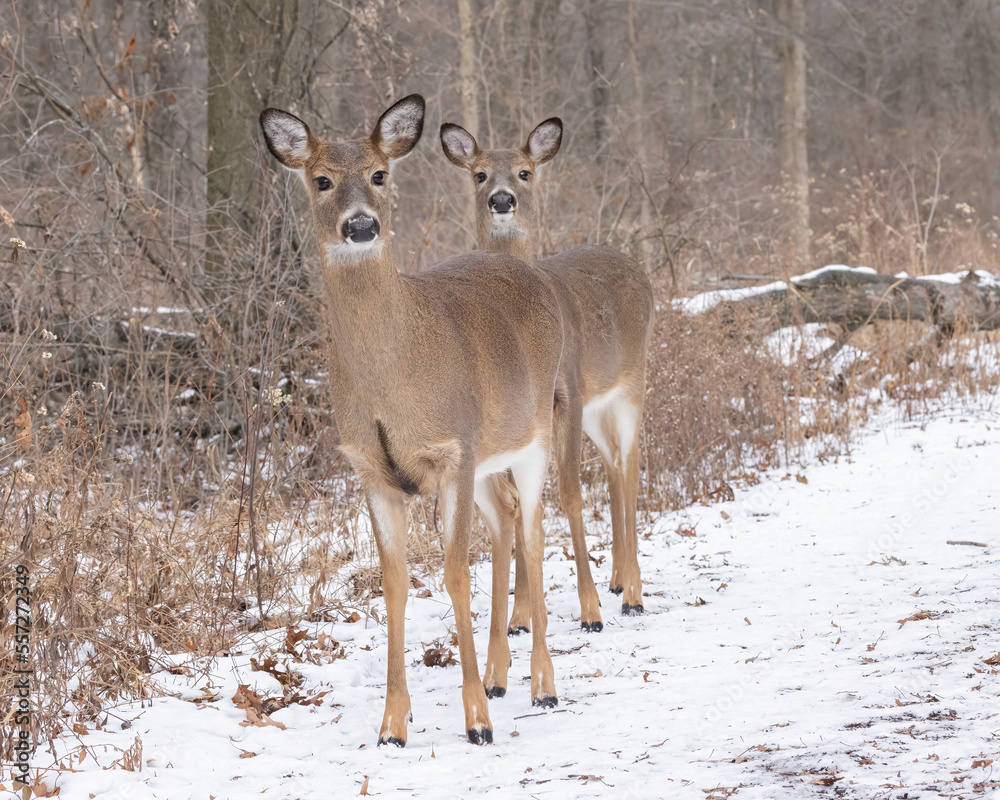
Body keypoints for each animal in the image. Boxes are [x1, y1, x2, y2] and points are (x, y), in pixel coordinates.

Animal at [259, 95, 564, 747]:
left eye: (380, 174)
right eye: (321, 180)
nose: (360, 225)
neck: (390, 383)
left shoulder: (452, 450)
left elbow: (453, 574)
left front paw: (477, 721)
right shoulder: (372, 471)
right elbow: (394, 584)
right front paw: (392, 725)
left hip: (533, 438)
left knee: (533, 532)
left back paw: (543, 686)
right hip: (487, 459)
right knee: (507, 520)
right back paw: (504, 677)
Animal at [441, 117, 654, 634]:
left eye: (525, 171)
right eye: (478, 174)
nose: (502, 199)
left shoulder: (569, 390)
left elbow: (570, 492)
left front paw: (590, 611)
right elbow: (521, 507)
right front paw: (518, 617)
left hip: (632, 381)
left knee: (631, 464)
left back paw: (633, 594)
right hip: (598, 405)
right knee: (614, 464)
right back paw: (619, 577)